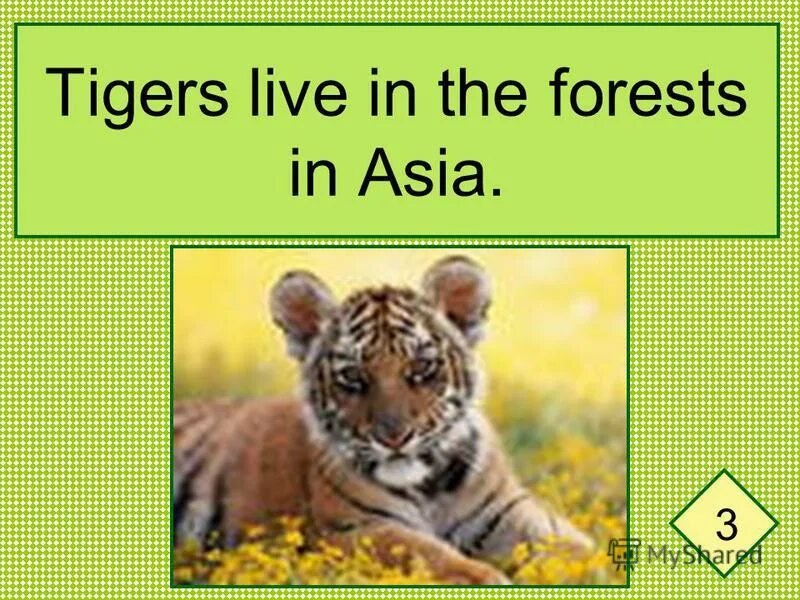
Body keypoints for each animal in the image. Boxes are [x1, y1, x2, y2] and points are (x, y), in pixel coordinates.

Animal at [173, 255, 593, 584]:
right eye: (352, 377)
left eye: (422, 368)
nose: (394, 438)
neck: (430, 487)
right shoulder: (353, 528)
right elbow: (424, 552)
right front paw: (484, 577)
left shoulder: (504, 508)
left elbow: (569, 543)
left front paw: (592, 567)